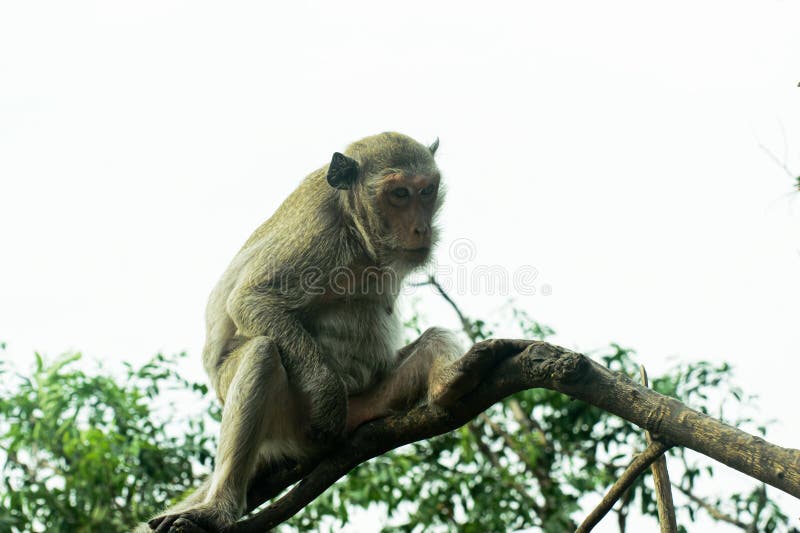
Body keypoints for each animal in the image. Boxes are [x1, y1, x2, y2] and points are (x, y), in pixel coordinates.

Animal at [143, 132, 518, 533]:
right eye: (399, 194)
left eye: (427, 191)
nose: (422, 229)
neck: (354, 228)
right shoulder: (318, 235)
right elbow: (252, 300)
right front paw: (328, 397)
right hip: (291, 423)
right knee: (262, 352)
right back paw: (219, 508)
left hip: (374, 399)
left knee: (433, 339)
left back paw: (452, 379)